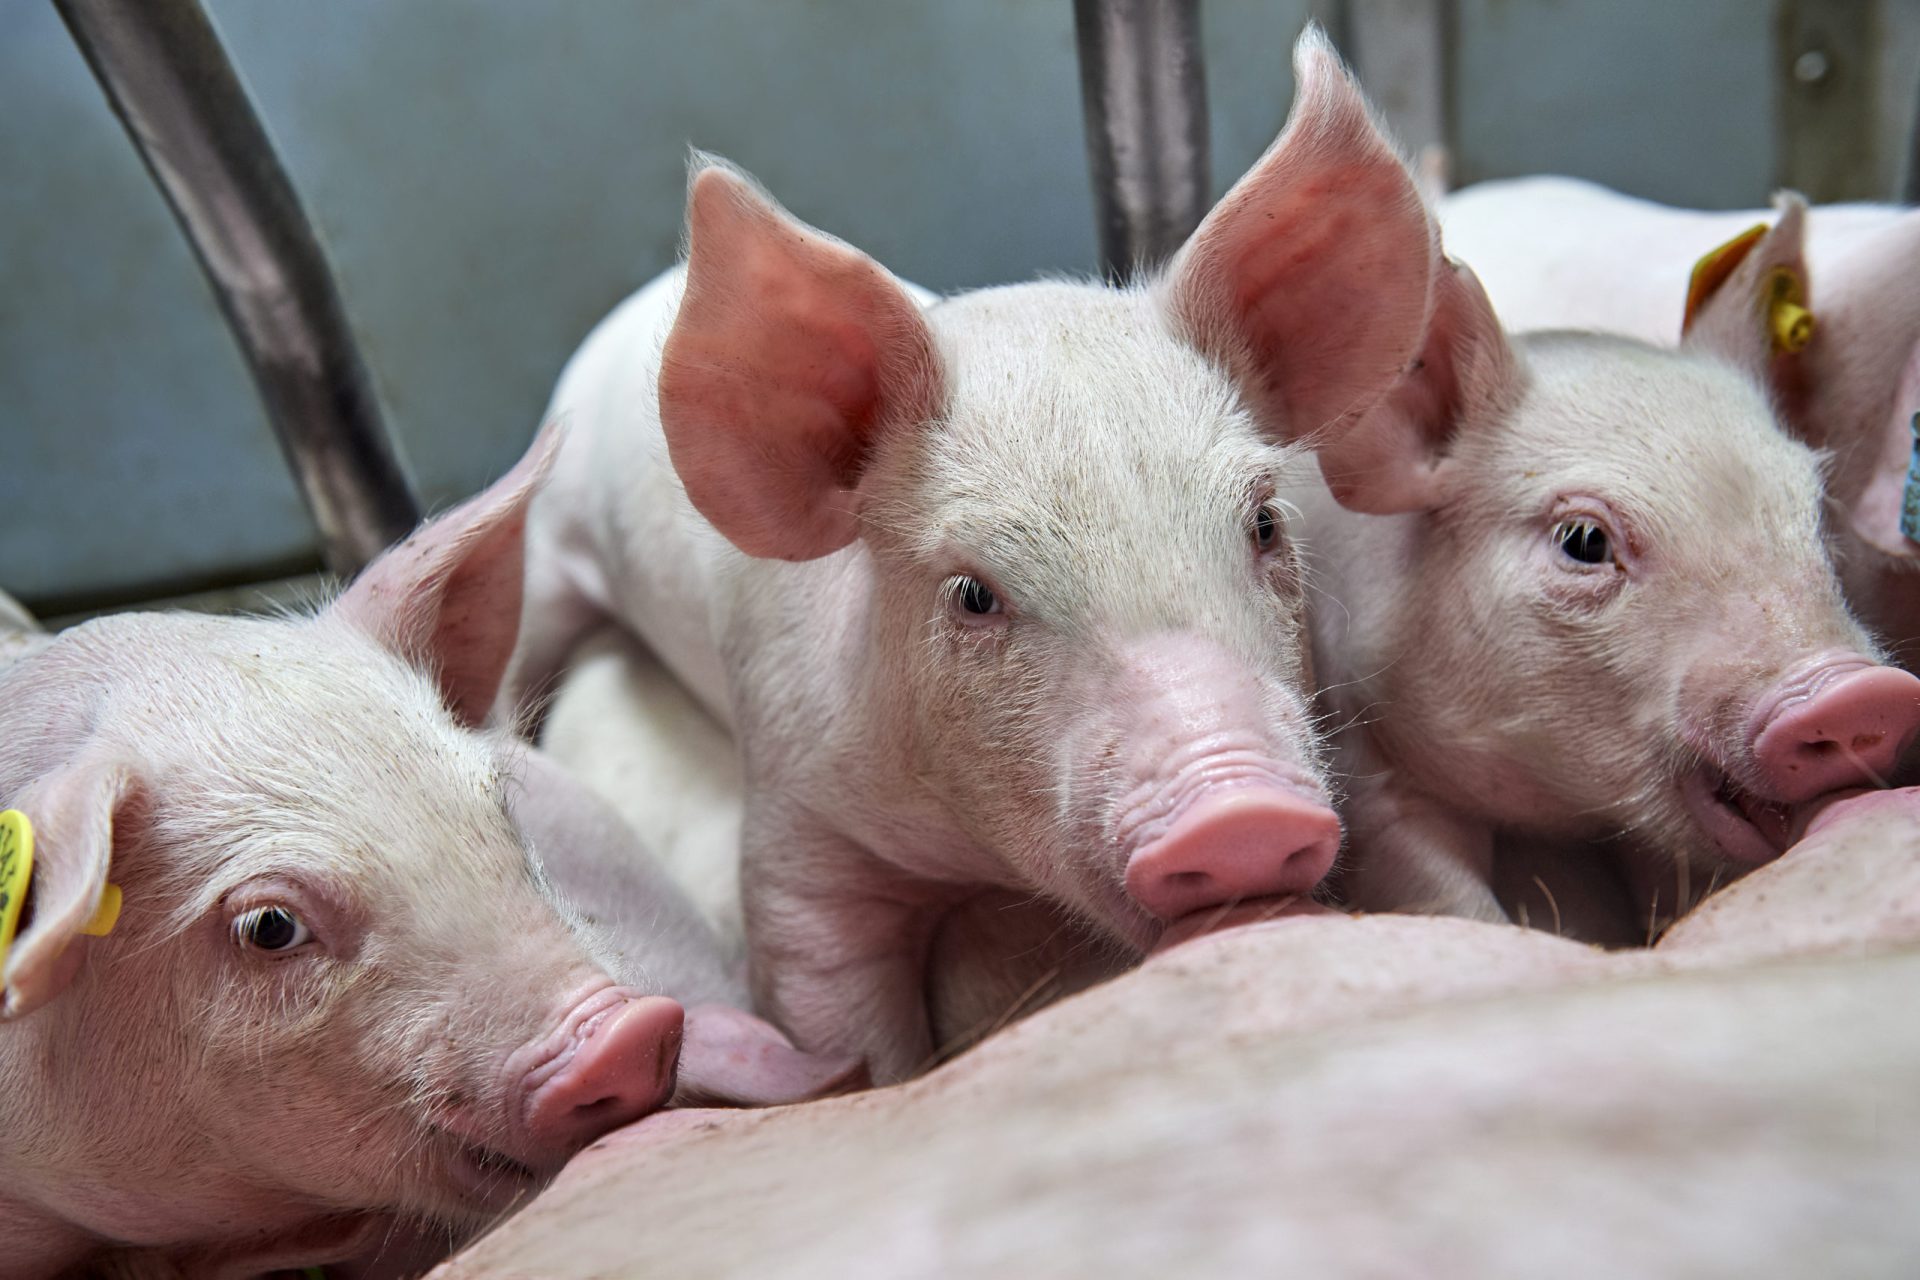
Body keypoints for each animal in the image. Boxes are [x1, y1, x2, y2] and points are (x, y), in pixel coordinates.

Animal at [505, 29, 1445, 1081]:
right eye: (973, 594)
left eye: (1265, 524)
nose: (1244, 814)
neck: (973, 858)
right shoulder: (795, 824)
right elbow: (842, 1011)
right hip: (548, 549)